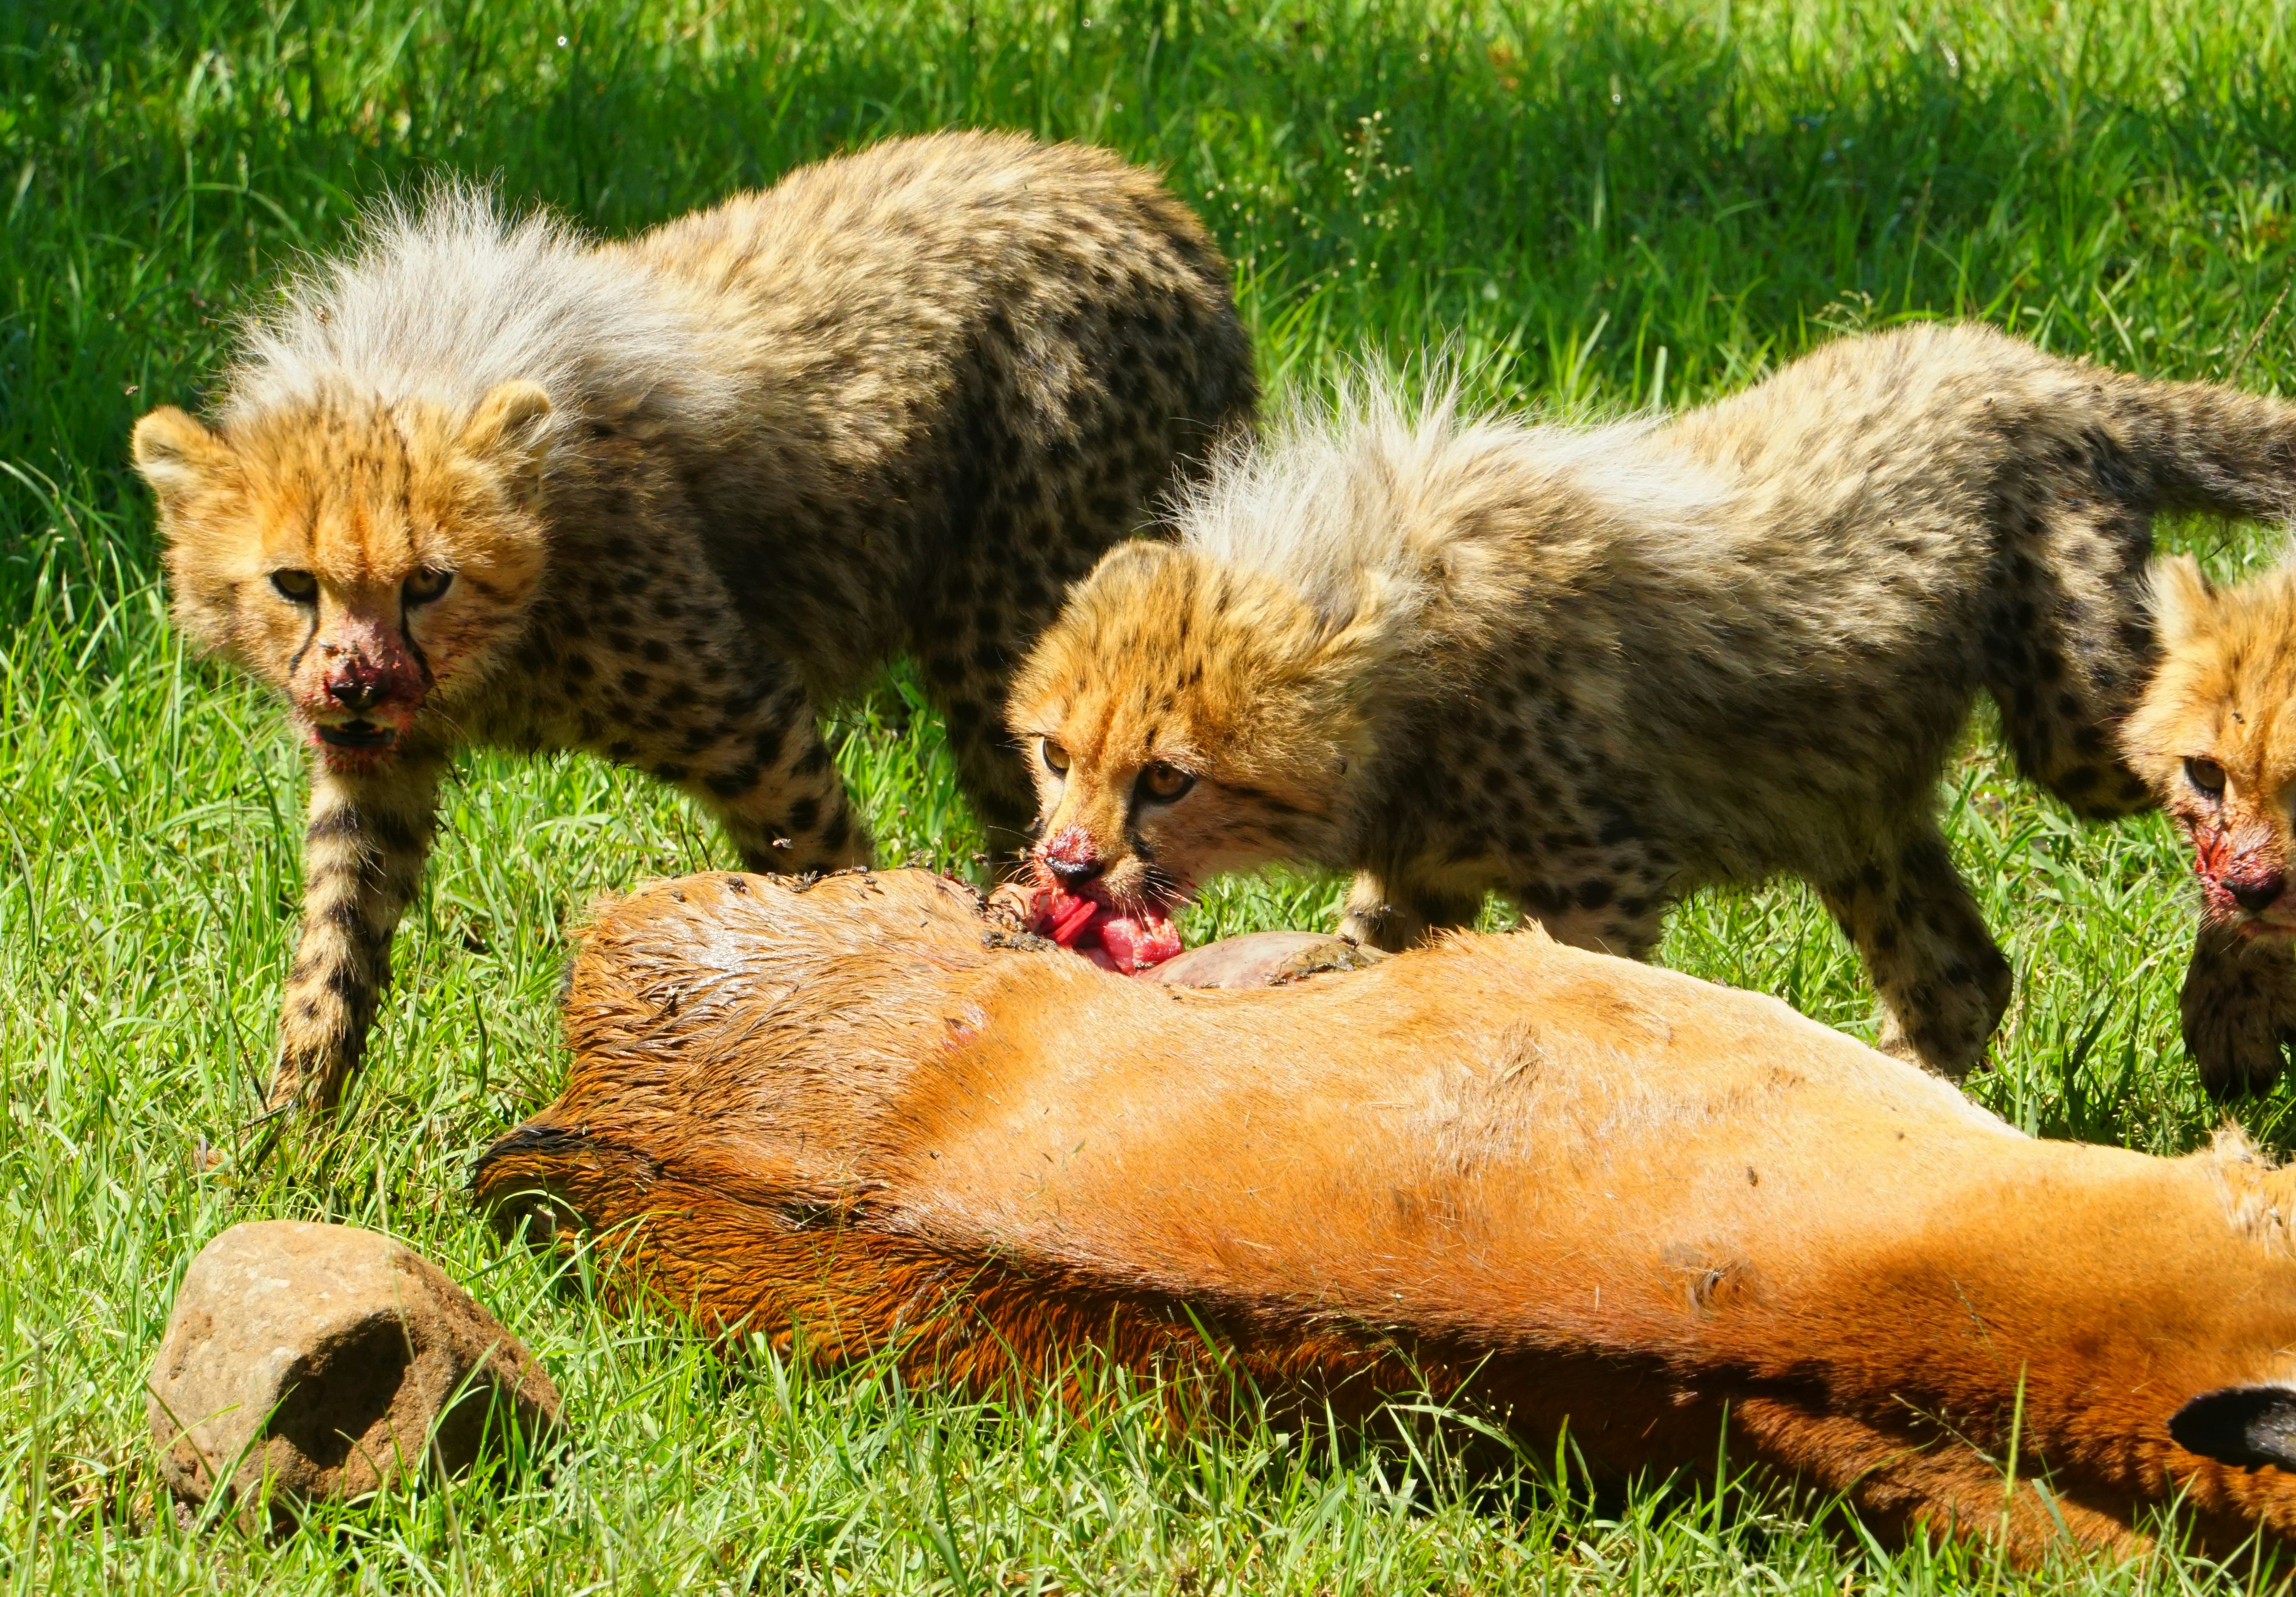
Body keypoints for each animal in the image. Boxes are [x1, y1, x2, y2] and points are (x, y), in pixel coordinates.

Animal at [130, 130, 1255, 1113]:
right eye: (293, 583)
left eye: (428, 581)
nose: (356, 679)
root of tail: (1140, 196)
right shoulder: (379, 763)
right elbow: (334, 948)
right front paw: (286, 1139)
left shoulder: (754, 730)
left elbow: (823, 874)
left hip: (1007, 631)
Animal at [1008, 320, 2296, 1084]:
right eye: (1056, 755)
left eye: (1167, 777)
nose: (1068, 863)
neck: (1391, 629)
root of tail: (2017, 357)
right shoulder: (1417, 874)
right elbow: (1375, 955)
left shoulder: (1602, 875)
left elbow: (1573, 993)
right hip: (1843, 796)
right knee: (1959, 976)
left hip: (2076, 729)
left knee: (2185, 765)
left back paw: (2227, 1004)